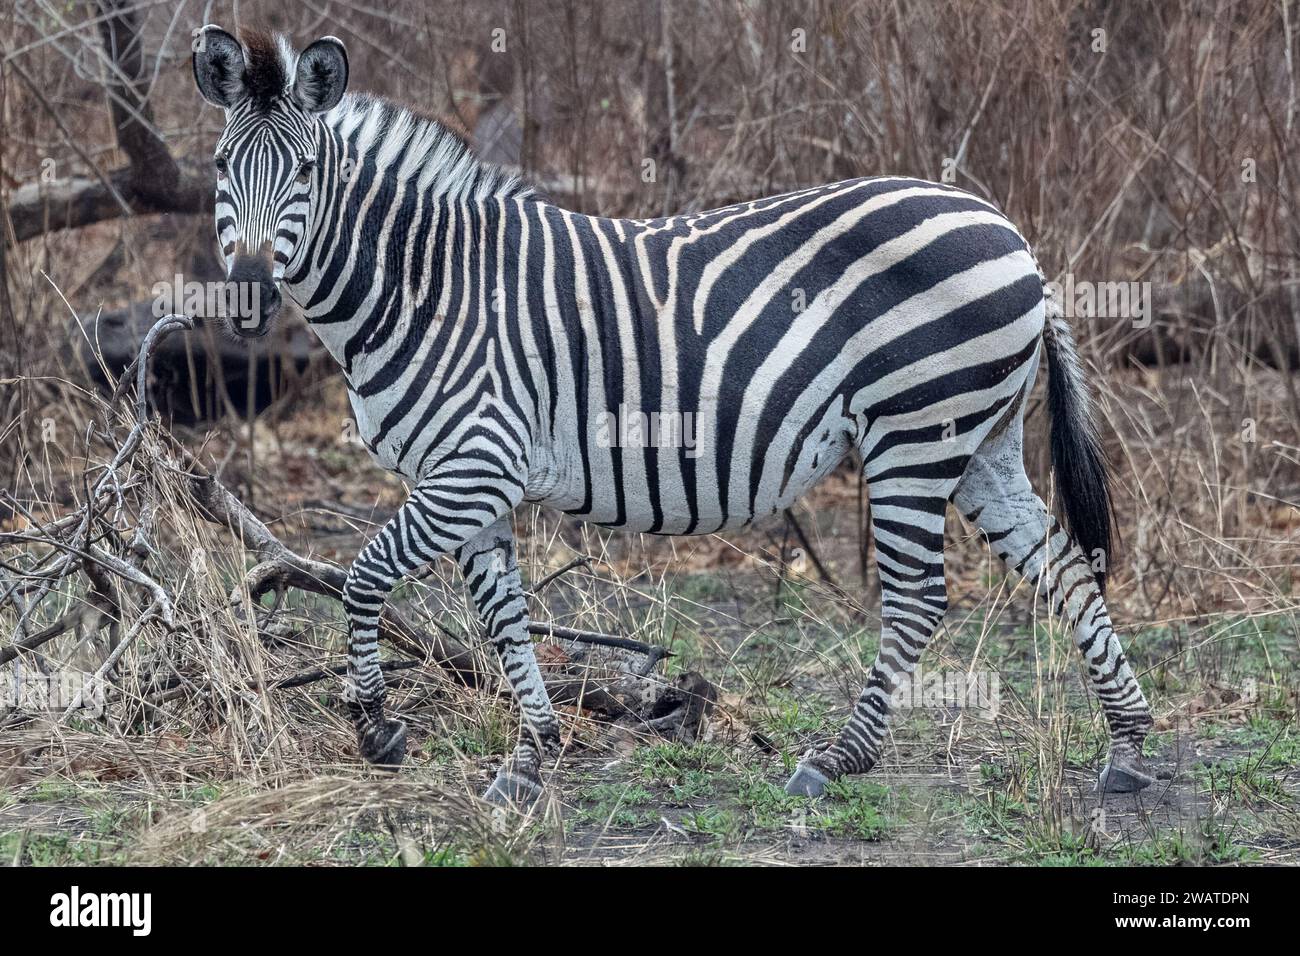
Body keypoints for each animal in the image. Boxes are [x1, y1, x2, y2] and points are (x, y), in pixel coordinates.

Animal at [192, 26, 1156, 805]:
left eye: (306, 173)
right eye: (221, 168)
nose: (247, 295)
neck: (426, 285)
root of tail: (1013, 236)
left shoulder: (473, 467)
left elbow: (363, 577)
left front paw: (378, 730)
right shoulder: (473, 482)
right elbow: (504, 618)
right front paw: (531, 758)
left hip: (913, 432)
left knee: (920, 597)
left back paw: (837, 760)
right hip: (978, 440)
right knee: (1068, 569)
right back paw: (1130, 749)